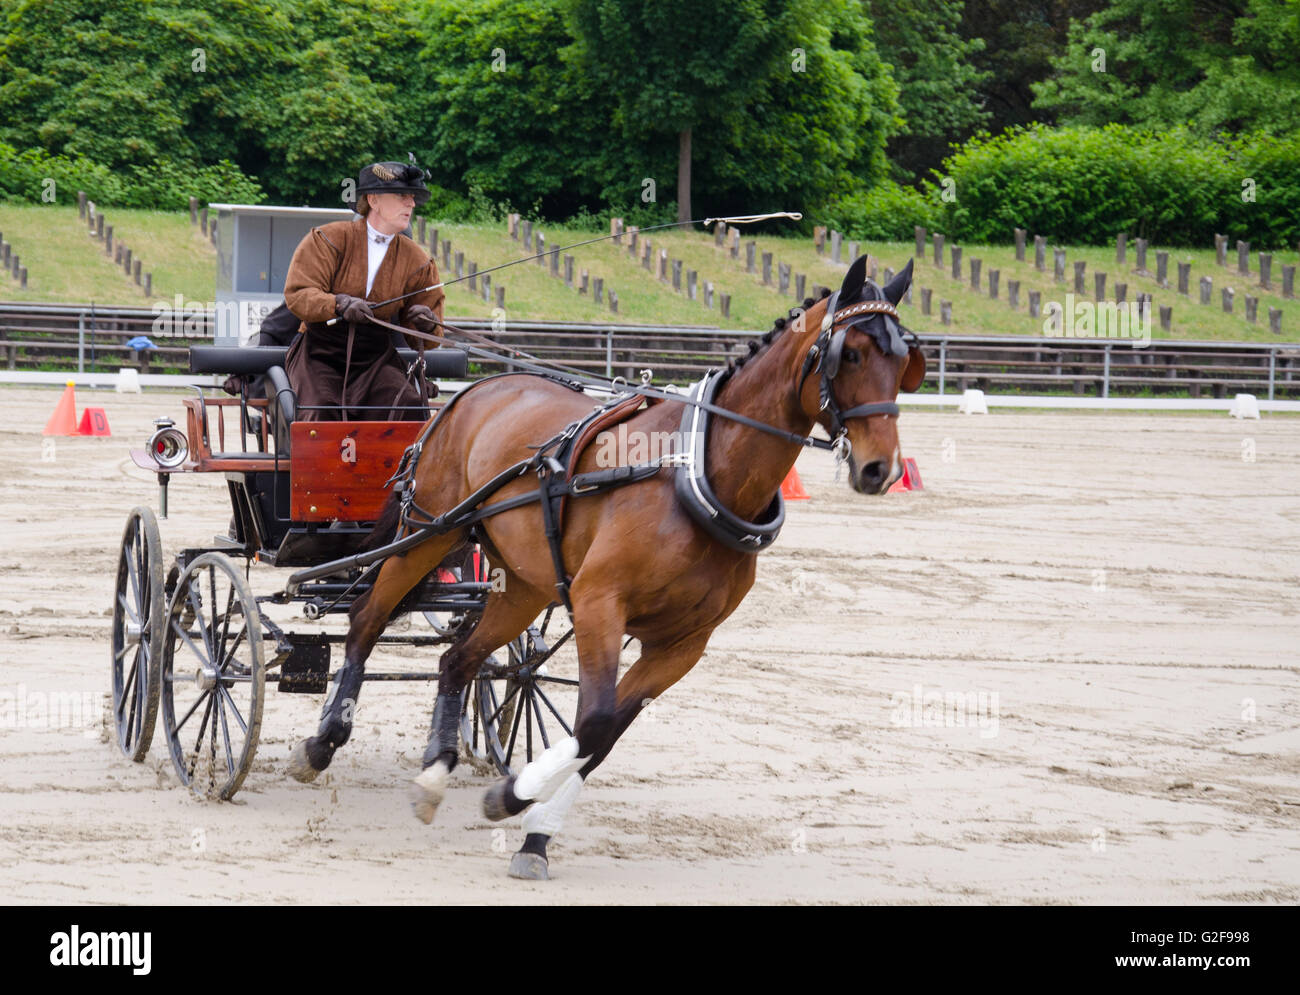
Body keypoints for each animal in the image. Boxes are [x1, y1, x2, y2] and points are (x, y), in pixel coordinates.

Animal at [287, 254, 925, 879]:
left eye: (903, 361)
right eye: (851, 353)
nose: (881, 470)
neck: (697, 473)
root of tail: (474, 391)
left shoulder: (683, 644)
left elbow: (606, 735)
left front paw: (535, 834)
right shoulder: (600, 604)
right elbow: (592, 723)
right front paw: (512, 797)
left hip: (523, 584)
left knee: (458, 660)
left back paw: (435, 769)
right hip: (427, 532)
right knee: (366, 622)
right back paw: (322, 743)